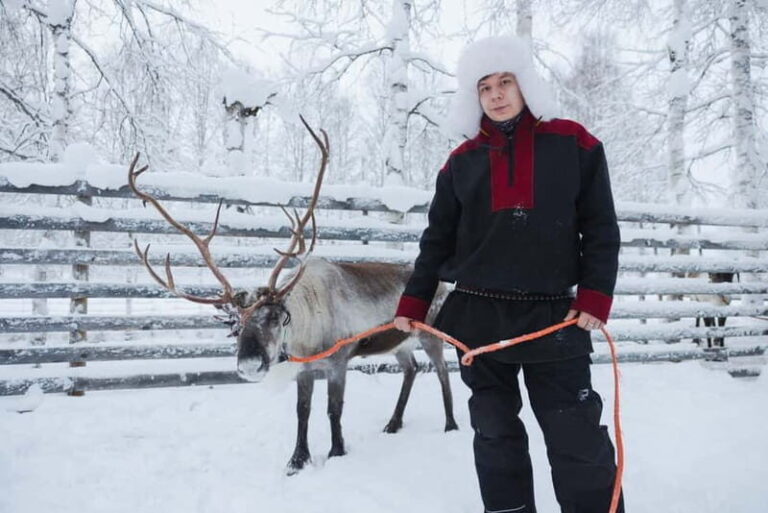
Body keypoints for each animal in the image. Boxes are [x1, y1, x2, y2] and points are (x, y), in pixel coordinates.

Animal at [127, 116, 458, 475]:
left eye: (274, 317)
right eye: (235, 326)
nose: (250, 365)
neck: (307, 332)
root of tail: (444, 284)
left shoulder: (338, 363)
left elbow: (333, 409)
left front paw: (337, 452)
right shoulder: (305, 369)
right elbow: (303, 412)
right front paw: (297, 460)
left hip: (431, 336)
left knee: (441, 372)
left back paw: (451, 425)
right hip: (400, 343)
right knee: (412, 369)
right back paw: (393, 423)